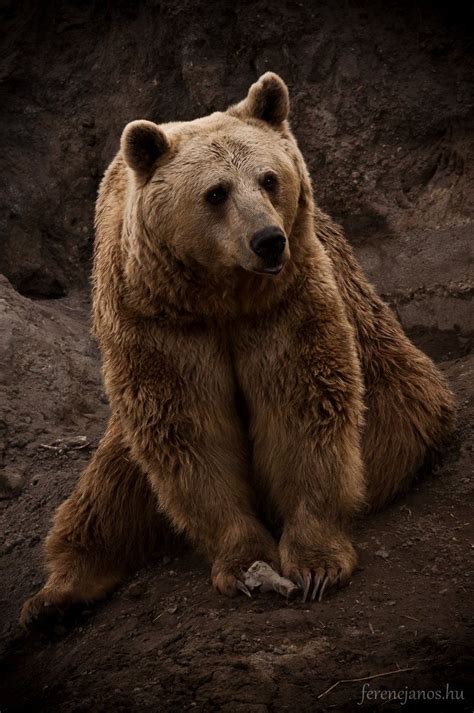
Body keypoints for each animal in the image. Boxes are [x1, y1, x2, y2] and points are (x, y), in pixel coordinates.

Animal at [21, 72, 455, 626]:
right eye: (216, 193)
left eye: (269, 179)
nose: (267, 239)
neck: (220, 294)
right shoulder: (159, 323)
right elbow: (188, 429)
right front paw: (247, 564)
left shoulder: (283, 305)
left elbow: (301, 408)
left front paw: (315, 564)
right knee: (105, 495)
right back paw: (55, 596)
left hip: (395, 384)